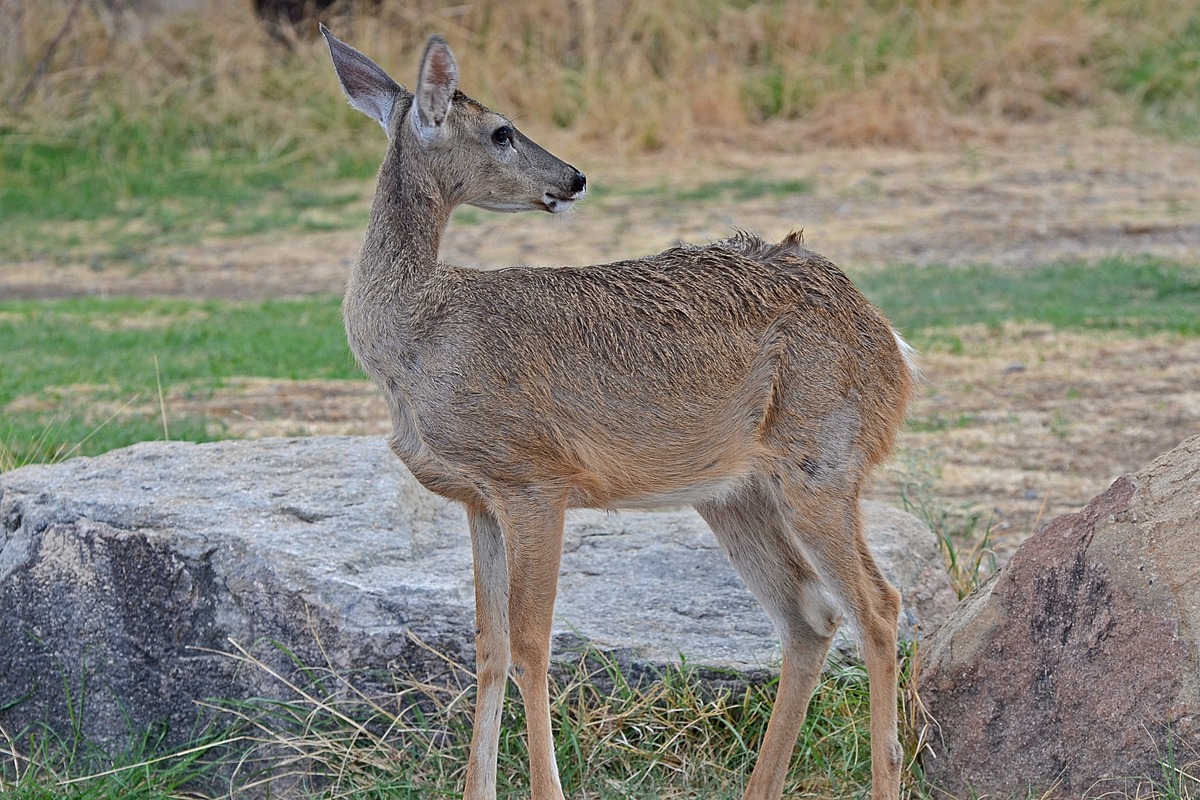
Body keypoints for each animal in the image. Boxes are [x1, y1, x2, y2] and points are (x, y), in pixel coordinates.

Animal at [321, 25, 916, 800]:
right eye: (501, 131)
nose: (574, 177)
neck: (418, 341)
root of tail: (890, 344)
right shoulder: (478, 497)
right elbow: (487, 646)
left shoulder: (536, 478)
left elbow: (532, 645)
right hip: (735, 493)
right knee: (809, 616)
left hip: (823, 463)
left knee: (878, 605)